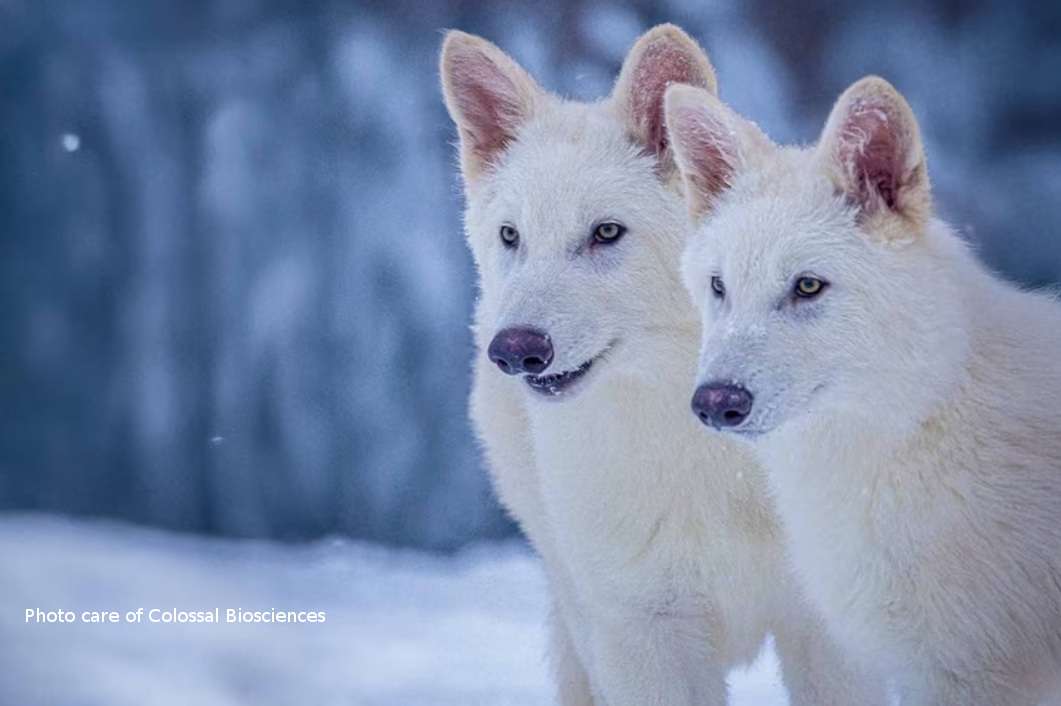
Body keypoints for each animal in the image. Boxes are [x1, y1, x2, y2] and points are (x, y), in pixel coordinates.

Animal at [440, 25, 884, 706]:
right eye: (512, 236)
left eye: (606, 232)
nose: (514, 349)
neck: (712, 458)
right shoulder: (642, 630)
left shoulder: (827, 631)